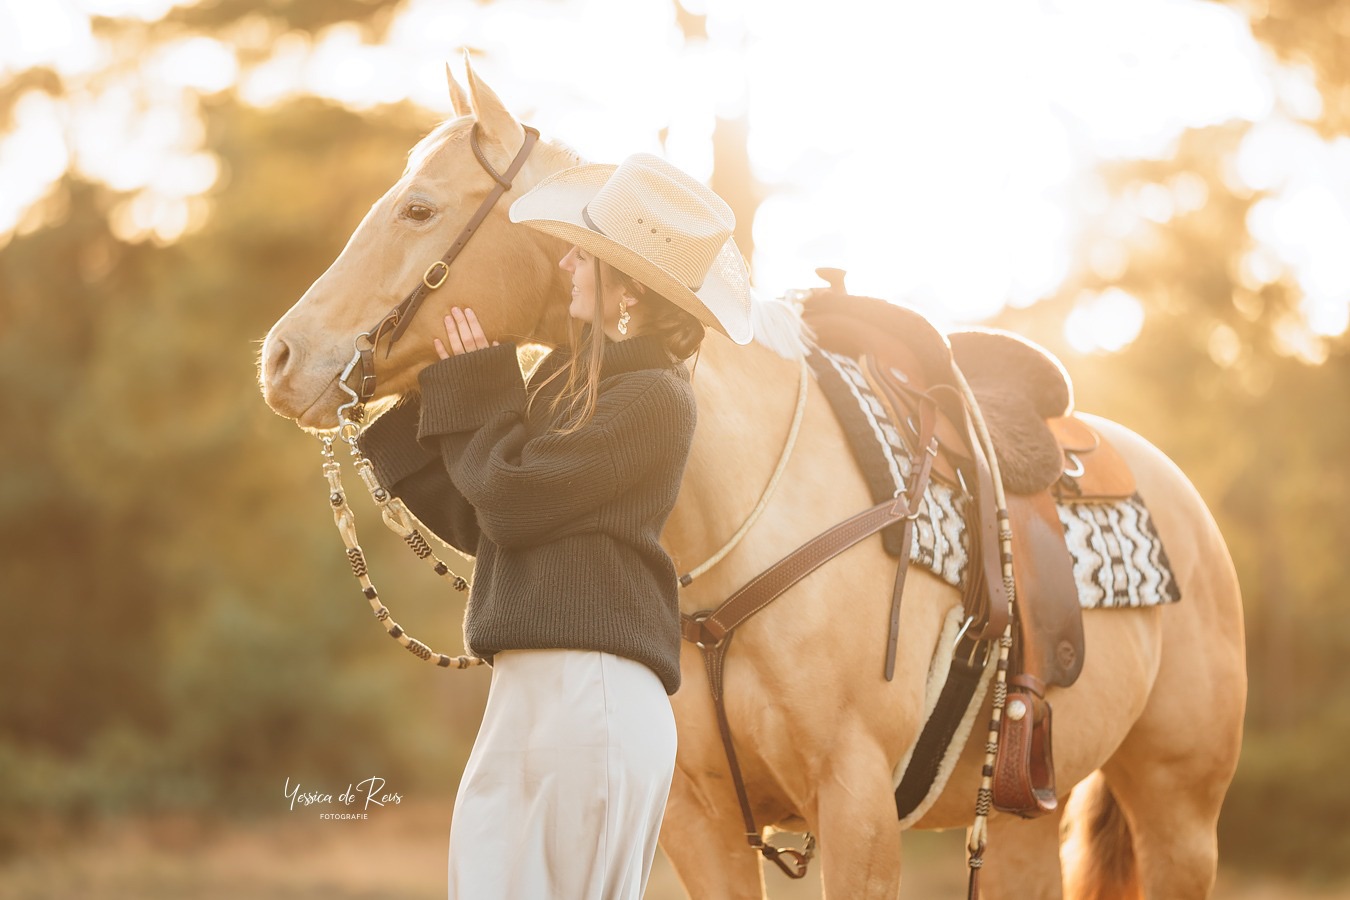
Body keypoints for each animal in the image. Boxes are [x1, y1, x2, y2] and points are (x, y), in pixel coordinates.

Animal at [258, 63, 1246, 899]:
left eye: (420, 209)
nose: (281, 358)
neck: (737, 520)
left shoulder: (856, 811)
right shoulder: (699, 822)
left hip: (1179, 815)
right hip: (1020, 824)